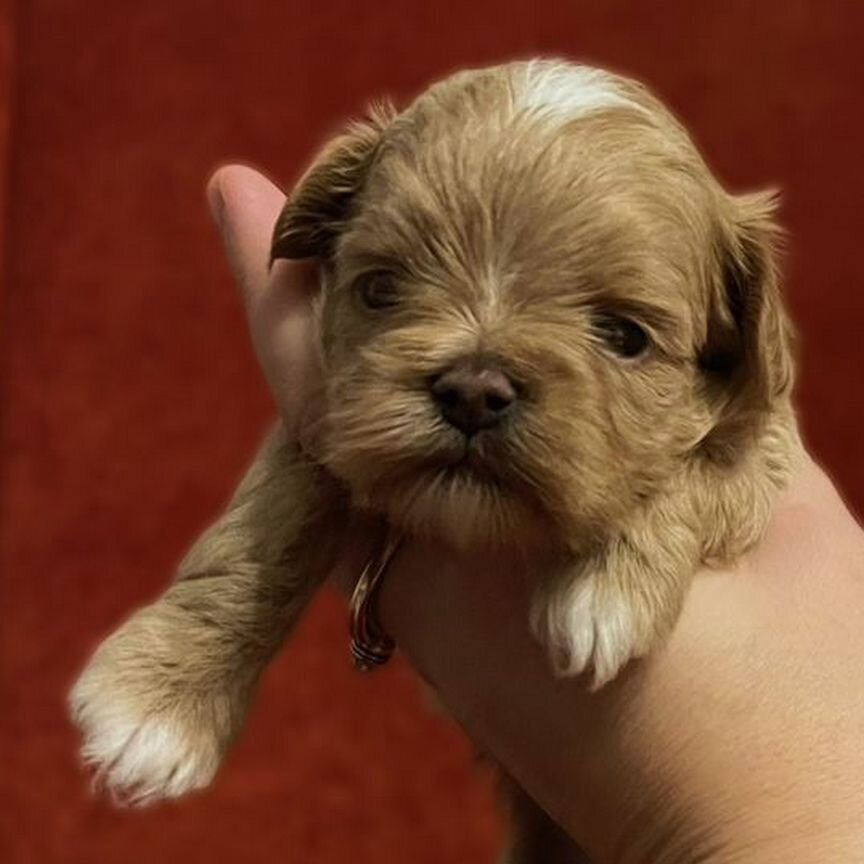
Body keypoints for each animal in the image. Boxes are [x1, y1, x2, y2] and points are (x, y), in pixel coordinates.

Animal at [71, 59, 800, 856]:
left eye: (625, 336)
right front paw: (162, 700)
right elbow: (269, 534)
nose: (474, 391)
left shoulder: (767, 436)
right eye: (382, 289)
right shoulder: (325, 418)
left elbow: (707, 467)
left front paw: (607, 588)